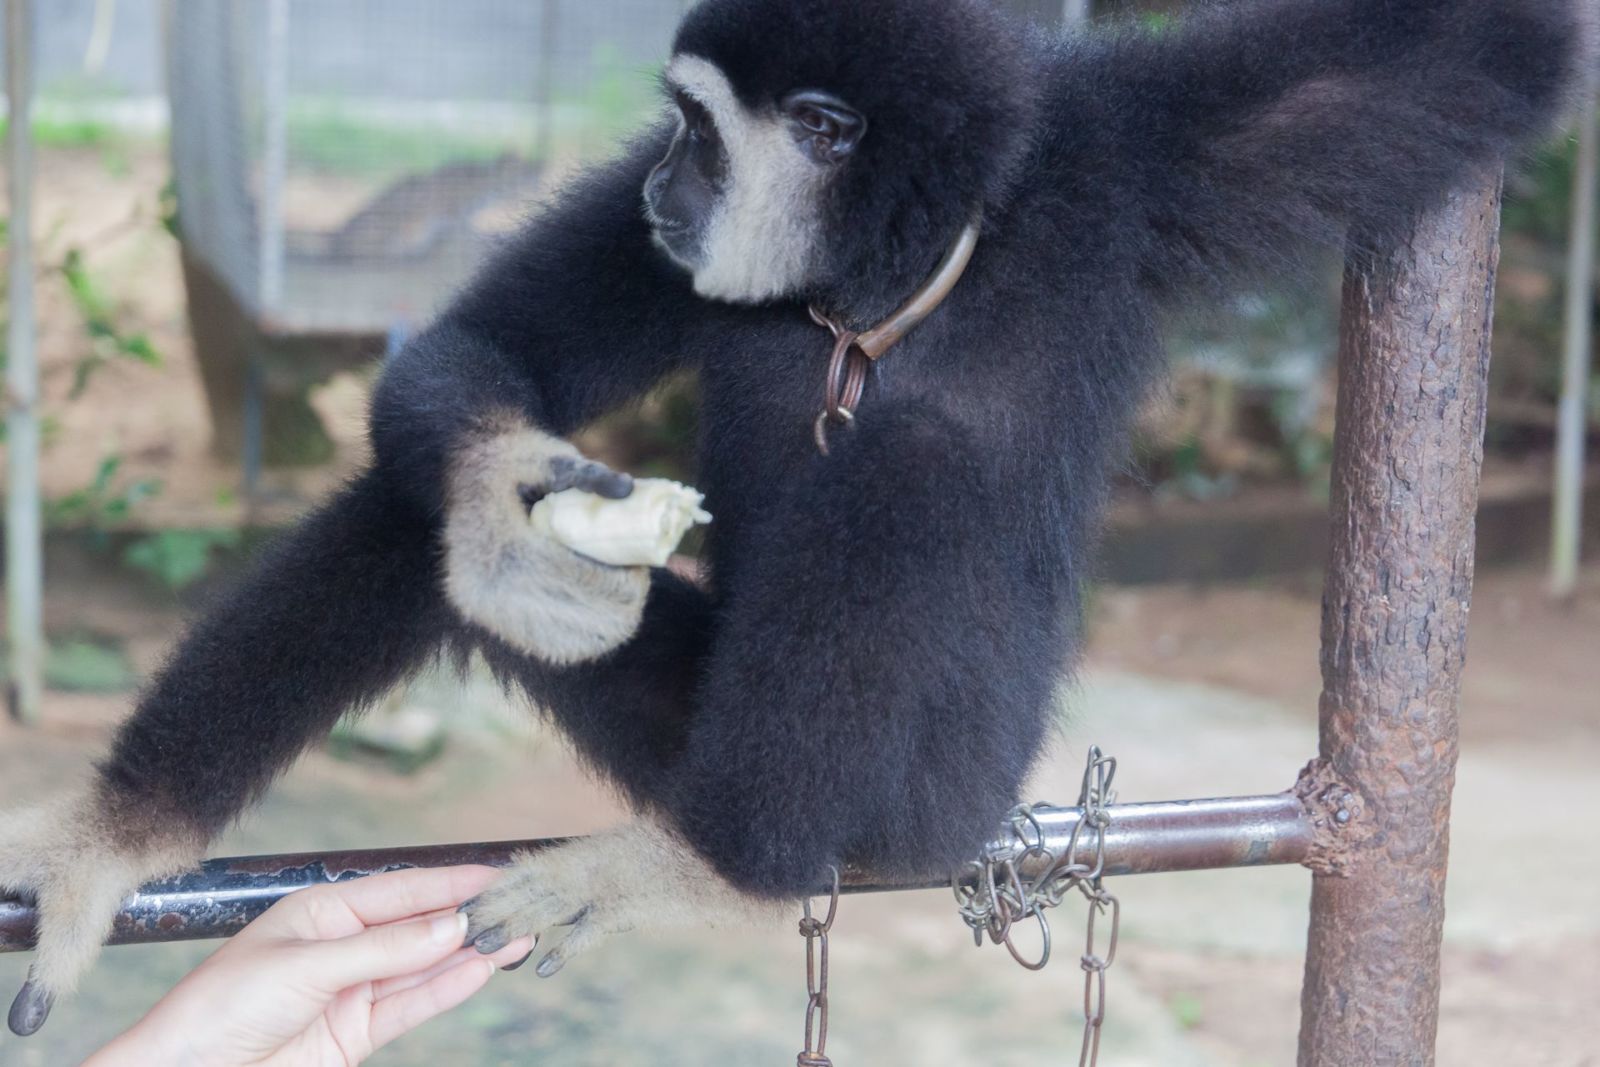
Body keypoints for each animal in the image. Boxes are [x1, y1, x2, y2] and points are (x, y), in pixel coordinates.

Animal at [2, 0, 1590, 1038]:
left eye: (700, 134)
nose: (658, 174)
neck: (878, 289)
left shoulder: (1128, 170)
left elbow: (1468, 52)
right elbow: (479, 351)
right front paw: (515, 532)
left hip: (935, 797)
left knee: (908, 475)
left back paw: (713, 870)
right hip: (678, 725)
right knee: (414, 516)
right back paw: (119, 837)